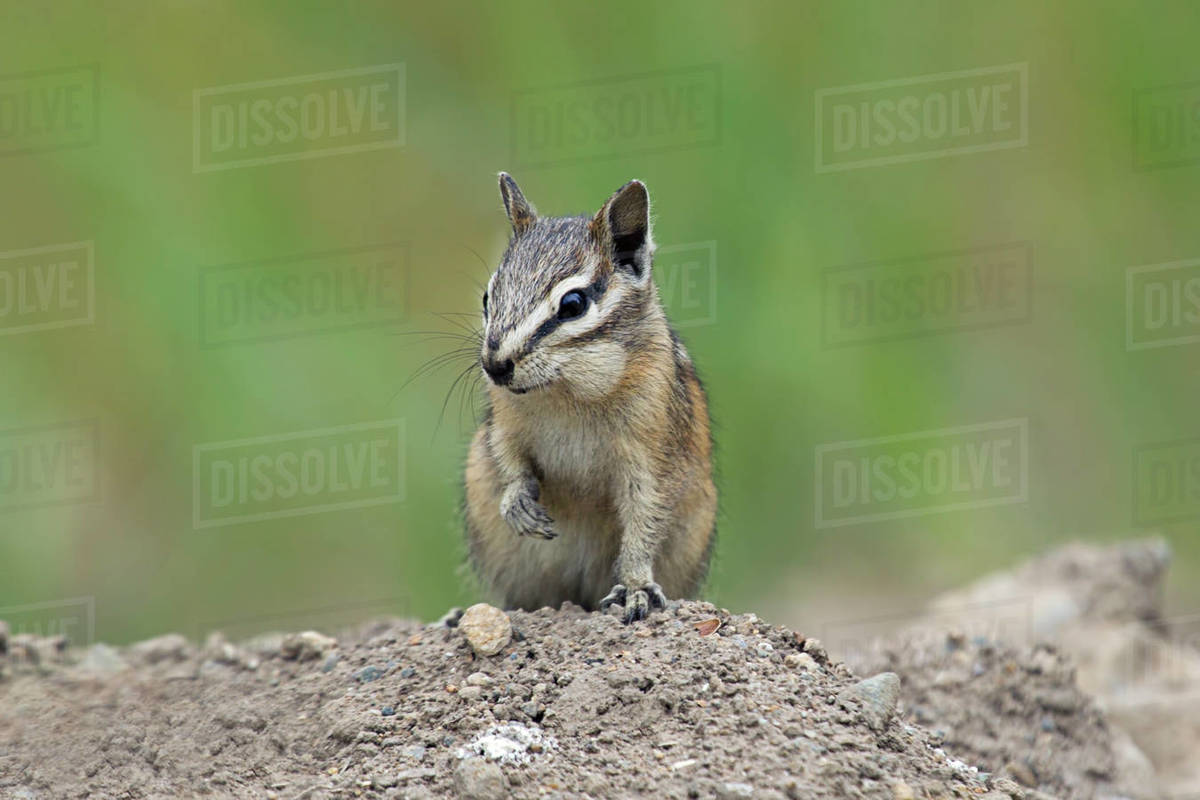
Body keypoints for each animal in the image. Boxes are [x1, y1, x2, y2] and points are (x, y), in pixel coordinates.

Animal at [463, 173, 717, 624]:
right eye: (488, 298)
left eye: (573, 303)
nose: (495, 365)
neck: (566, 390)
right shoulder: (504, 421)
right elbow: (507, 457)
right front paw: (518, 504)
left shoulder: (652, 452)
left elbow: (643, 520)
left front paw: (635, 588)